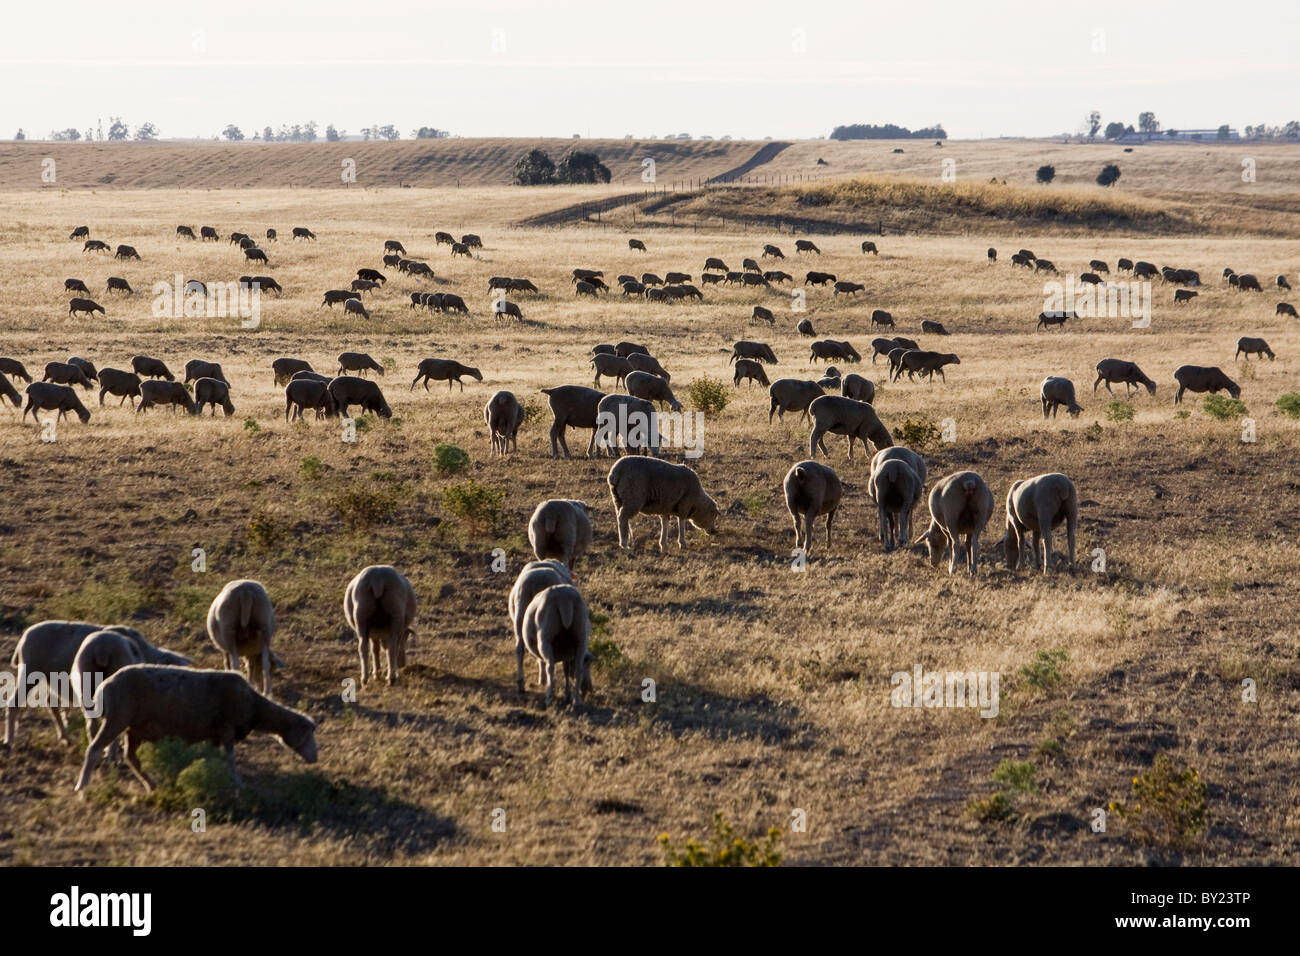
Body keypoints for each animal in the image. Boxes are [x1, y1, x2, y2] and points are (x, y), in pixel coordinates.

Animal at [4, 621, 188, 746]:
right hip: (29, 671)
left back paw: (65, 738)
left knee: (53, 706)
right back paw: (10, 739)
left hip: (50, 679)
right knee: (14, 704)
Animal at [74, 666, 316, 795]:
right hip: (117, 718)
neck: (255, 706)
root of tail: (104, 687)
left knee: (131, 757)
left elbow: (214, 758)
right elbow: (230, 758)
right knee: (94, 749)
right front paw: (238, 784)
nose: (315, 758)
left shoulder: (215, 735)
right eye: (308, 735)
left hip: (134, 728)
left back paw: (151, 784)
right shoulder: (227, 729)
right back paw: (81, 786)